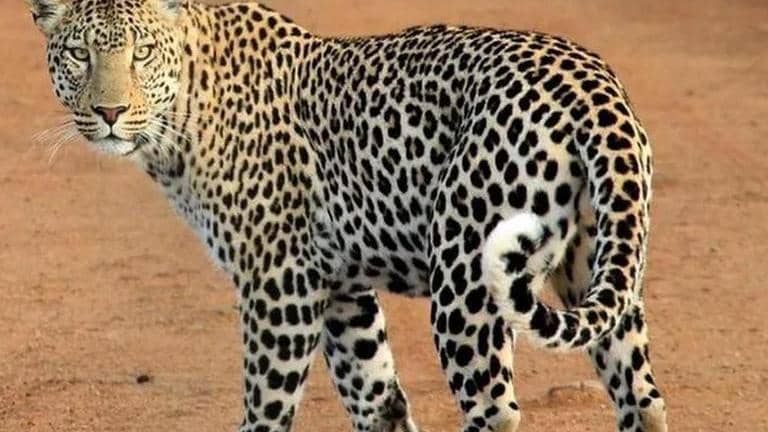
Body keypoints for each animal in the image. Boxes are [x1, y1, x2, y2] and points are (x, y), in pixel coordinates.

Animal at [28, 0, 668, 431]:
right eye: (80, 55)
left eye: (141, 54)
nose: (110, 112)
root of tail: (591, 86)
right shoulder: (341, 287)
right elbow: (377, 399)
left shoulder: (280, 284)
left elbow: (265, 410)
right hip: (598, 264)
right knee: (642, 395)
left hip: (465, 282)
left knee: (496, 409)